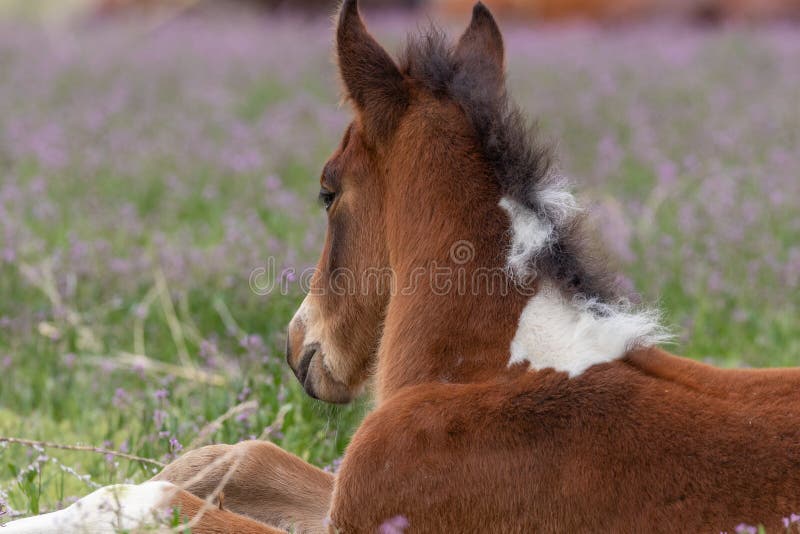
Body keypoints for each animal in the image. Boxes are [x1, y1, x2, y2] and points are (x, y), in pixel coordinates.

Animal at [5, 1, 800, 532]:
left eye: (327, 191)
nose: (297, 344)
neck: (490, 372)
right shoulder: (347, 500)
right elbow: (244, 456)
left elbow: (163, 501)